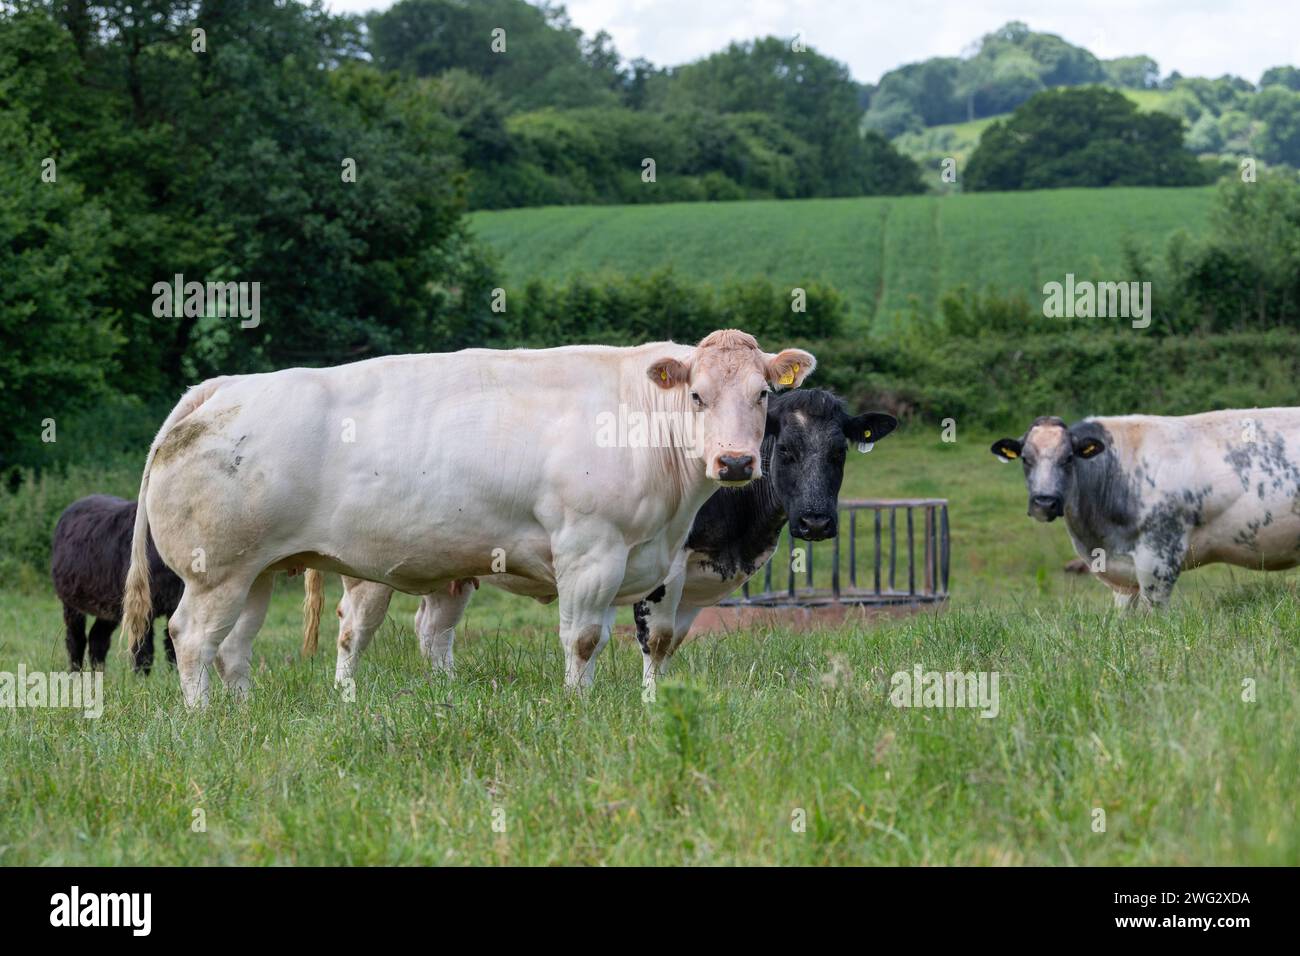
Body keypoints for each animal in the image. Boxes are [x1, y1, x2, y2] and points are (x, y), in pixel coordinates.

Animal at [51, 495, 180, 673]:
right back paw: (75, 673)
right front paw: (142, 679)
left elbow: (173, 646)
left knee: (97, 639)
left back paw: (98, 675)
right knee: (76, 640)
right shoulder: (141, 606)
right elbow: (144, 650)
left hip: (109, 607)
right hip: (72, 604)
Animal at [122, 331, 815, 706]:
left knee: (233, 648)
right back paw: (203, 722)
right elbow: (583, 639)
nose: (734, 461)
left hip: (258, 571)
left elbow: (655, 641)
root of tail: (227, 385)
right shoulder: (588, 550)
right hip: (217, 572)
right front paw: (579, 707)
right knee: (191, 638)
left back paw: (240, 713)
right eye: (696, 395)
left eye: (763, 394)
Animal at [304, 389, 897, 689]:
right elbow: (653, 640)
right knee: (353, 630)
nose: (816, 522)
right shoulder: (664, 569)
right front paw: (651, 708)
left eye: (840, 452)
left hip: (451, 571)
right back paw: (347, 699)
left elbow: (671, 642)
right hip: (367, 568)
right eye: (785, 450)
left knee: (433, 631)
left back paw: (447, 694)